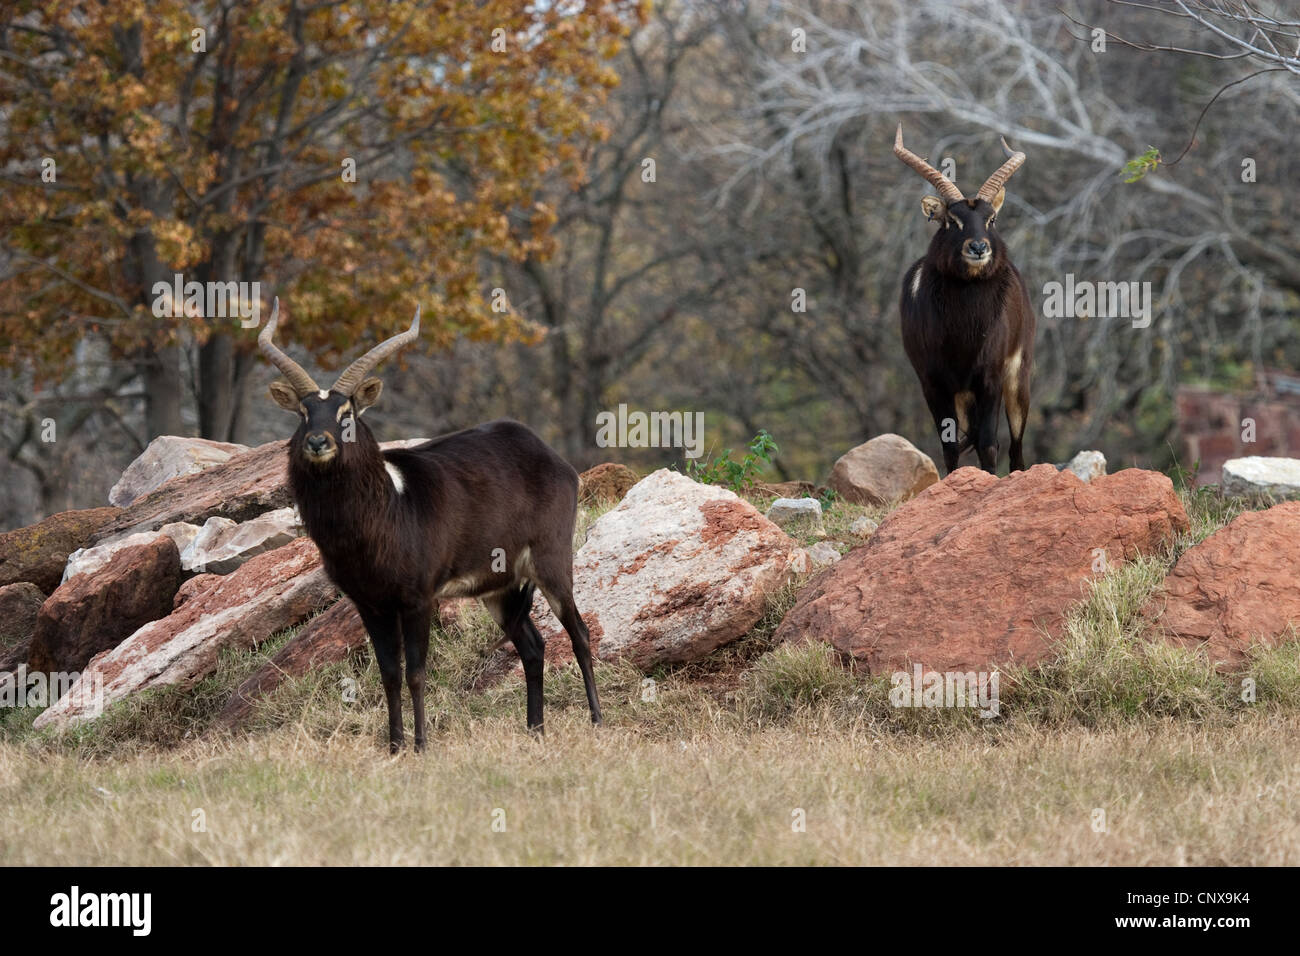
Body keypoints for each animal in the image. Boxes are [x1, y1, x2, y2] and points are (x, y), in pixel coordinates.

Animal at [258, 300, 601, 752]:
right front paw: (394, 747)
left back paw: (597, 721)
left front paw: (420, 746)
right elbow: (388, 675)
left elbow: (416, 673)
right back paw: (534, 730)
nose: (318, 442)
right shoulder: (370, 605)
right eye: (303, 412)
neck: (386, 508)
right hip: (501, 589)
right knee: (533, 646)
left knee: (579, 632)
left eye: (345, 412)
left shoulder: (418, 599)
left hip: (552, 566)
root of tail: (546, 452)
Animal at [894, 124, 1036, 475]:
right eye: (951, 220)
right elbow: (948, 445)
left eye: (991, 219)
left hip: (1017, 380)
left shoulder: (990, 378)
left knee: (1016, 446)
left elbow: (988, 443)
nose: (978, 247)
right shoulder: (933, 382)